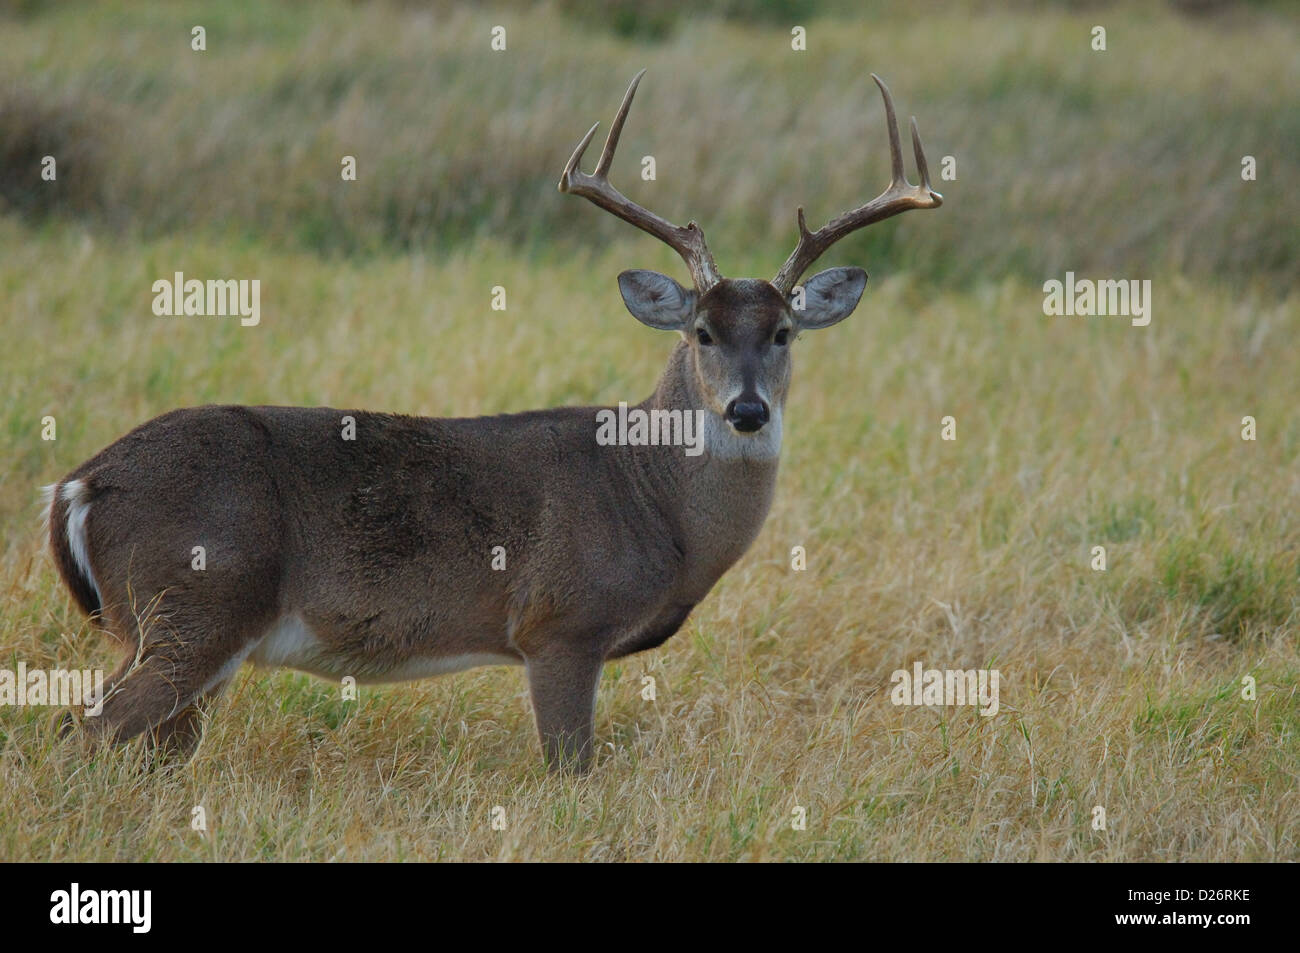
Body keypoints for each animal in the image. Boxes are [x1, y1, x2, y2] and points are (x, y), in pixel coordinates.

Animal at [44, 71, 940, 772]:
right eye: (702, 332)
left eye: (783, 331)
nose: (748, 409)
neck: (655, 499)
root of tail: (79, 484)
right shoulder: (560, 623)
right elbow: (570, 767)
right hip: (192, 604)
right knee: (81, 731)